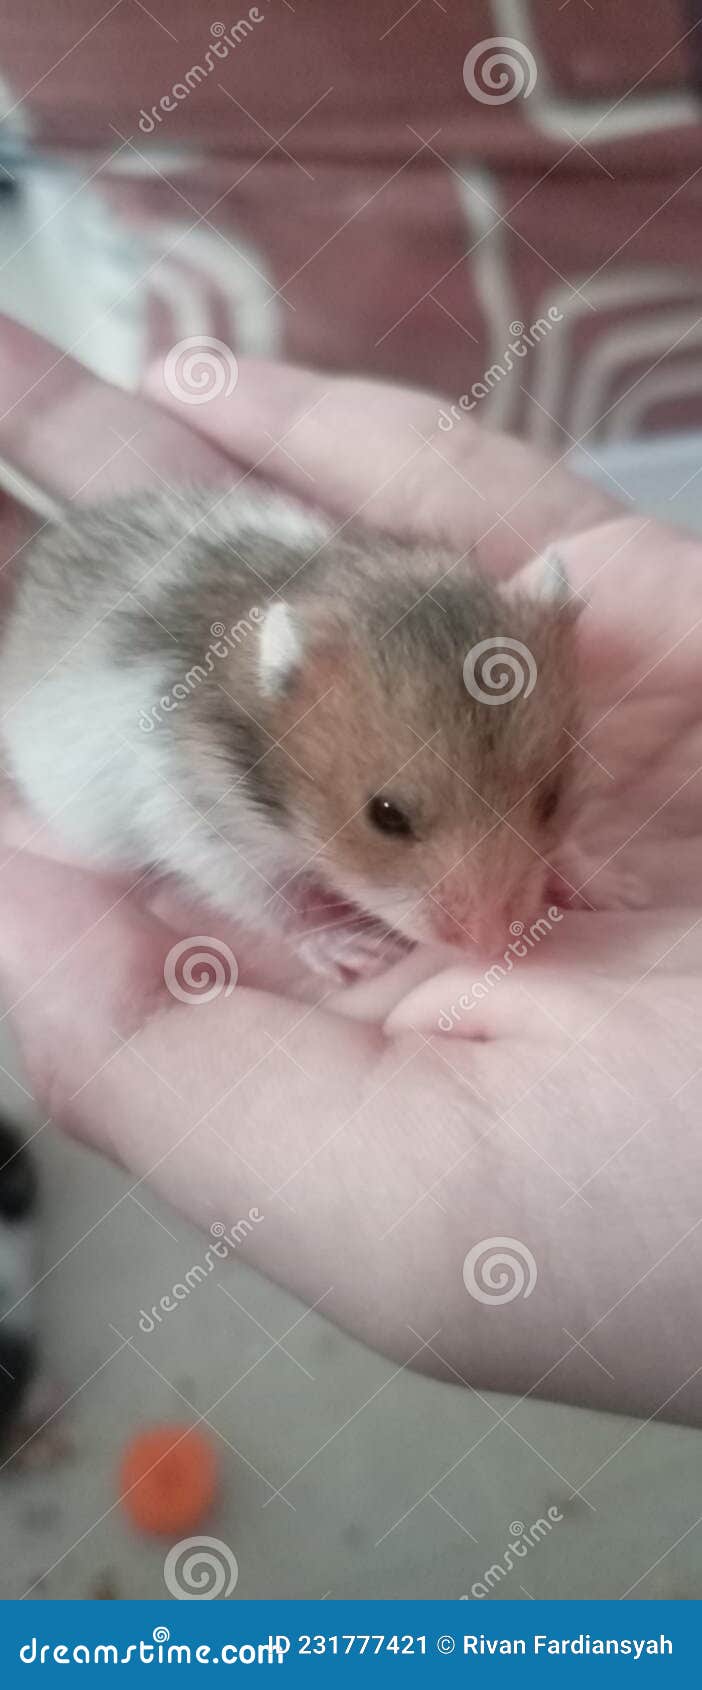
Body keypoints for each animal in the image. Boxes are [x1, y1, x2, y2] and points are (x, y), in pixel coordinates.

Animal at [0, 485, 580, 978]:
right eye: (385, 816)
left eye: (552, 799)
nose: (491, 947)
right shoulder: (201, 830)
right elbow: (275, 905)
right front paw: (355, 953)